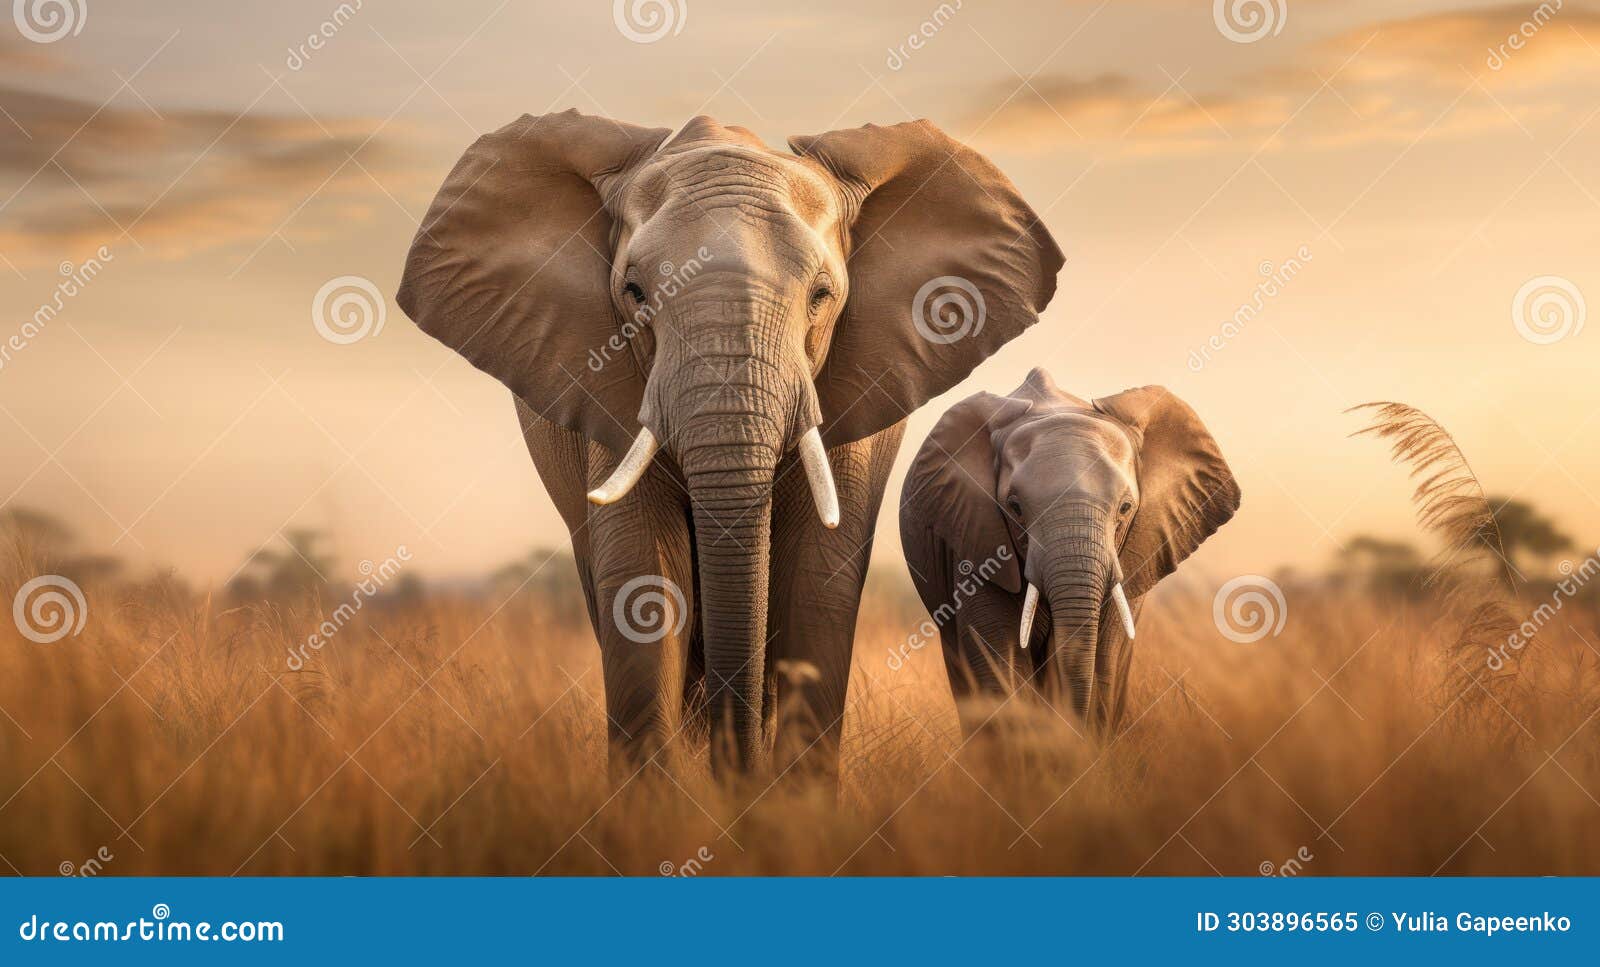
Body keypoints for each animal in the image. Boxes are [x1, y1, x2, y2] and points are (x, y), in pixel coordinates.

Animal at [396, 111, 1063, 779]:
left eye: (821, 295)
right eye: (634, 292)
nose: (737, 774)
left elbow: (819, 581)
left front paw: (788, 801)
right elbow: (643, 581)